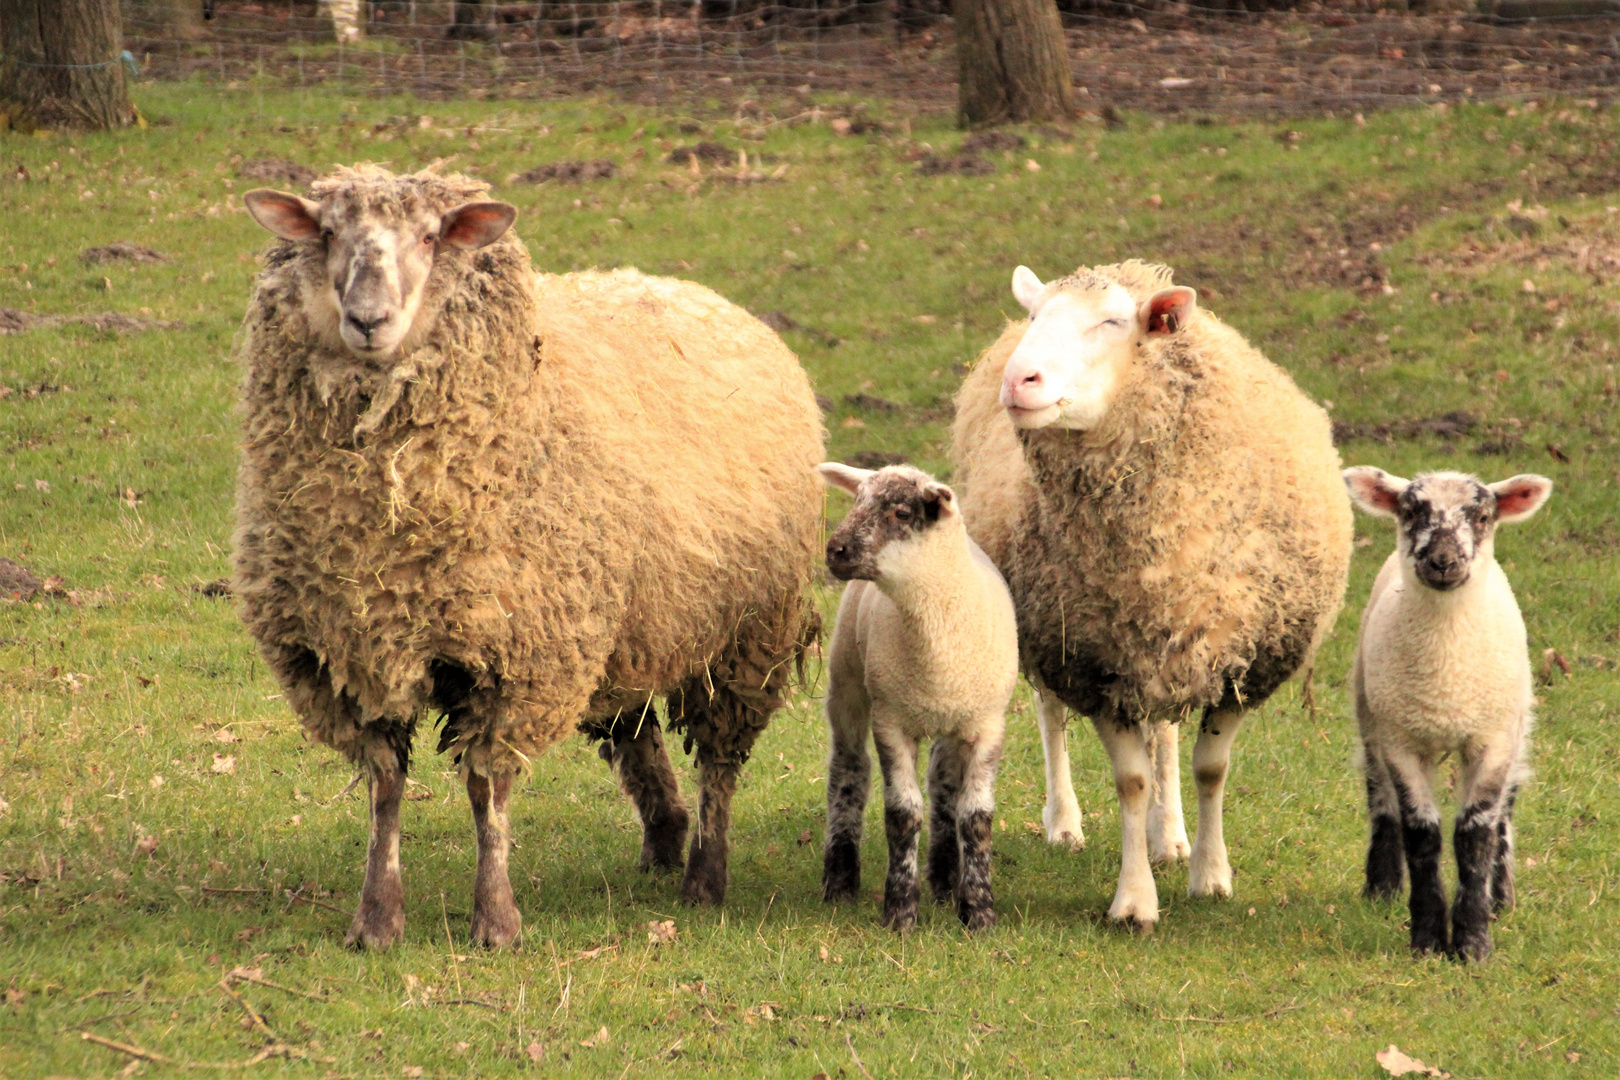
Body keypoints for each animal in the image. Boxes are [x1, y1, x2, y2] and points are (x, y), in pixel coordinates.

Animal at [236, 165, 823, 949]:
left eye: (431, 237)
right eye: (326, 234)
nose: (367, 318)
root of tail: (687, 287)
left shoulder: (521, 657)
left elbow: (489, 789)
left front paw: (496, 920)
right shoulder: (348, 657)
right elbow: (386, 787)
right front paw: (377, 919)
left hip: (746, 635)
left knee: (721, 758)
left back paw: (706, 873)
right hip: (623, 626)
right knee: (635, 729)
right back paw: (664, 838)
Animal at [816, 463, 1019, 931]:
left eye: (902, 513)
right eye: (857, 500)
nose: (834, 549)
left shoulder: (988, 725)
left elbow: (976, 816)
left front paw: (979, 912)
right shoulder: (890, 722)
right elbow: (903, 814)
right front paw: (900, 912)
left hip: (951, 718)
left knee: (944, 786)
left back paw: (945, 879)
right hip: (847, 682)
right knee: (848, 769)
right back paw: (840, 878)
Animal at [950, 260, 1353, 929]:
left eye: (1114, 322)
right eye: (1037, 316)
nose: (1018, 378)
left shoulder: (1239, 662)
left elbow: (1209, 768)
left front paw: (1210, 875)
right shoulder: (1092, 663)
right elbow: (1131, 783)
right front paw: (1134, 901)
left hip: (1165, 646)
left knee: (1164, 736)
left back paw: (1172, 837)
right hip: (1043, 626)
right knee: (1051, 715)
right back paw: (1065, 822)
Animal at [1343, 467, 1551, 961]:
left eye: (1482, 516)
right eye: (1410, 511)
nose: (1442, 560)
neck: (1445, 679)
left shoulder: (1494, 739)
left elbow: (1474, 834)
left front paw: (1473, 941)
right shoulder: (1401, 740)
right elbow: (1423, 834)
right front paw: (1428, 939)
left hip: (1516, 719)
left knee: (1505, 810)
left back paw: (1501, 896)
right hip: (1370, 714)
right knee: (1380, 798)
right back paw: (1381, 889)